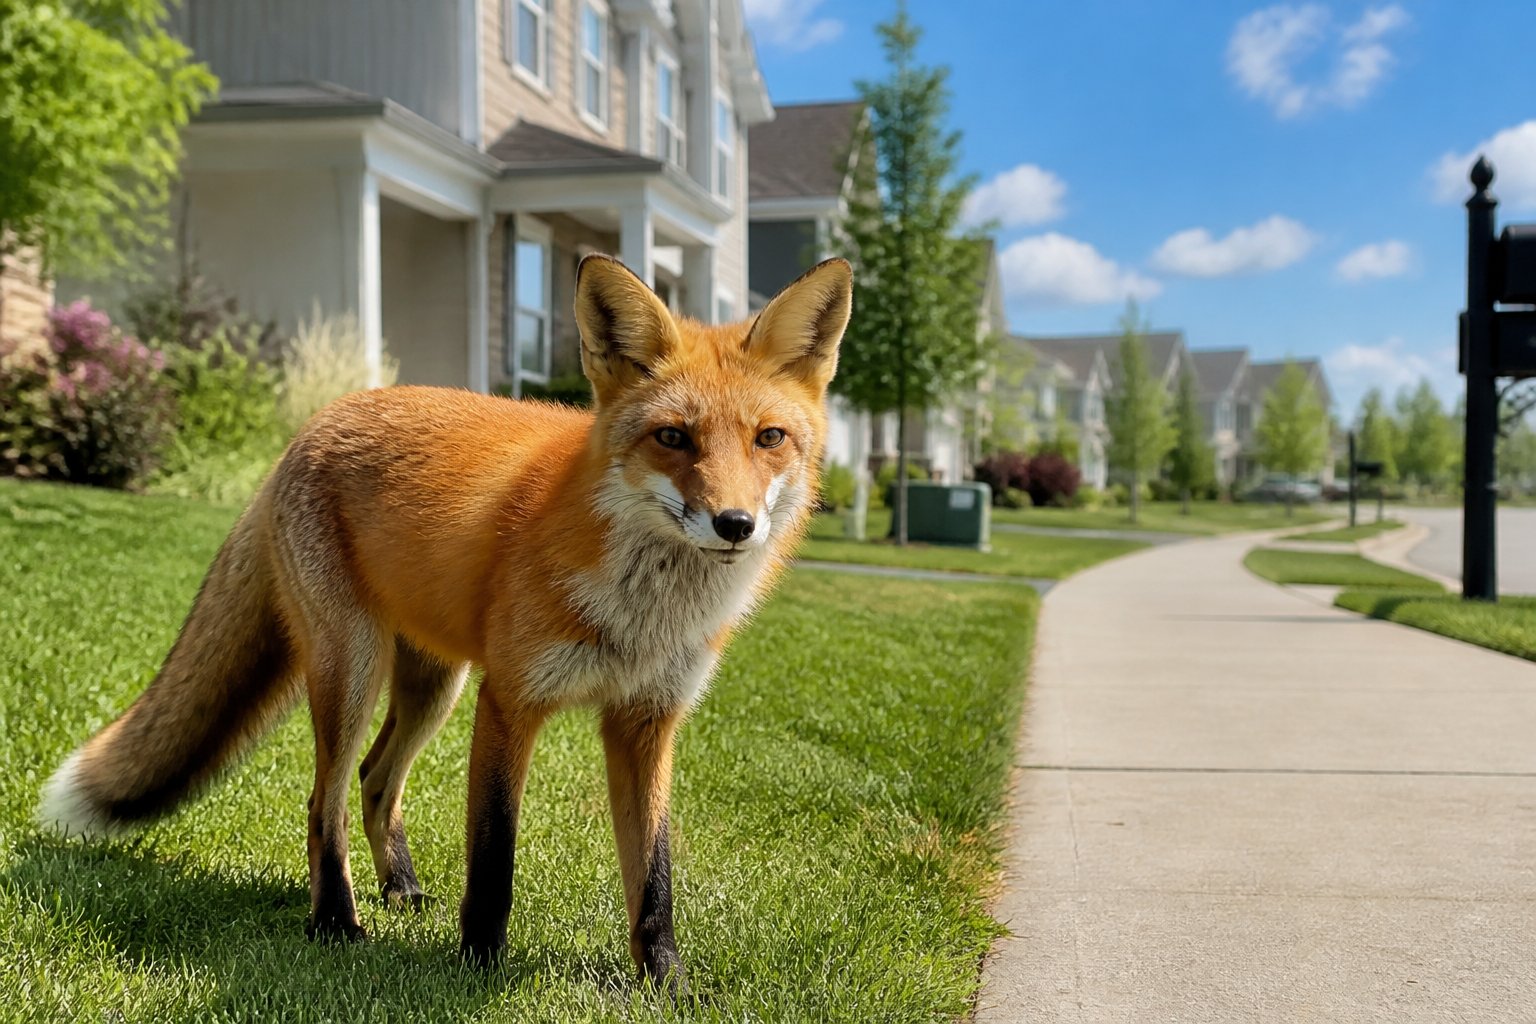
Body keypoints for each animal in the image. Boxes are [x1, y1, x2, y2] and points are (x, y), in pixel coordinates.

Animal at [37, 254, 854, 984]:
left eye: (769, 439)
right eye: (674, 437)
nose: (735, 524)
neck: (642, 612)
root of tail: (312, 425)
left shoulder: (646, 721)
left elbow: (654, 879)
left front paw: (668, 985)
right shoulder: (509, 702)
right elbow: (494, 857)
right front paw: (477, 965)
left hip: (434, 685)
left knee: (374, 780)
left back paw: (398, 887)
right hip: (354, 669)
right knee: (324, 801)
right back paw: (335, 921)